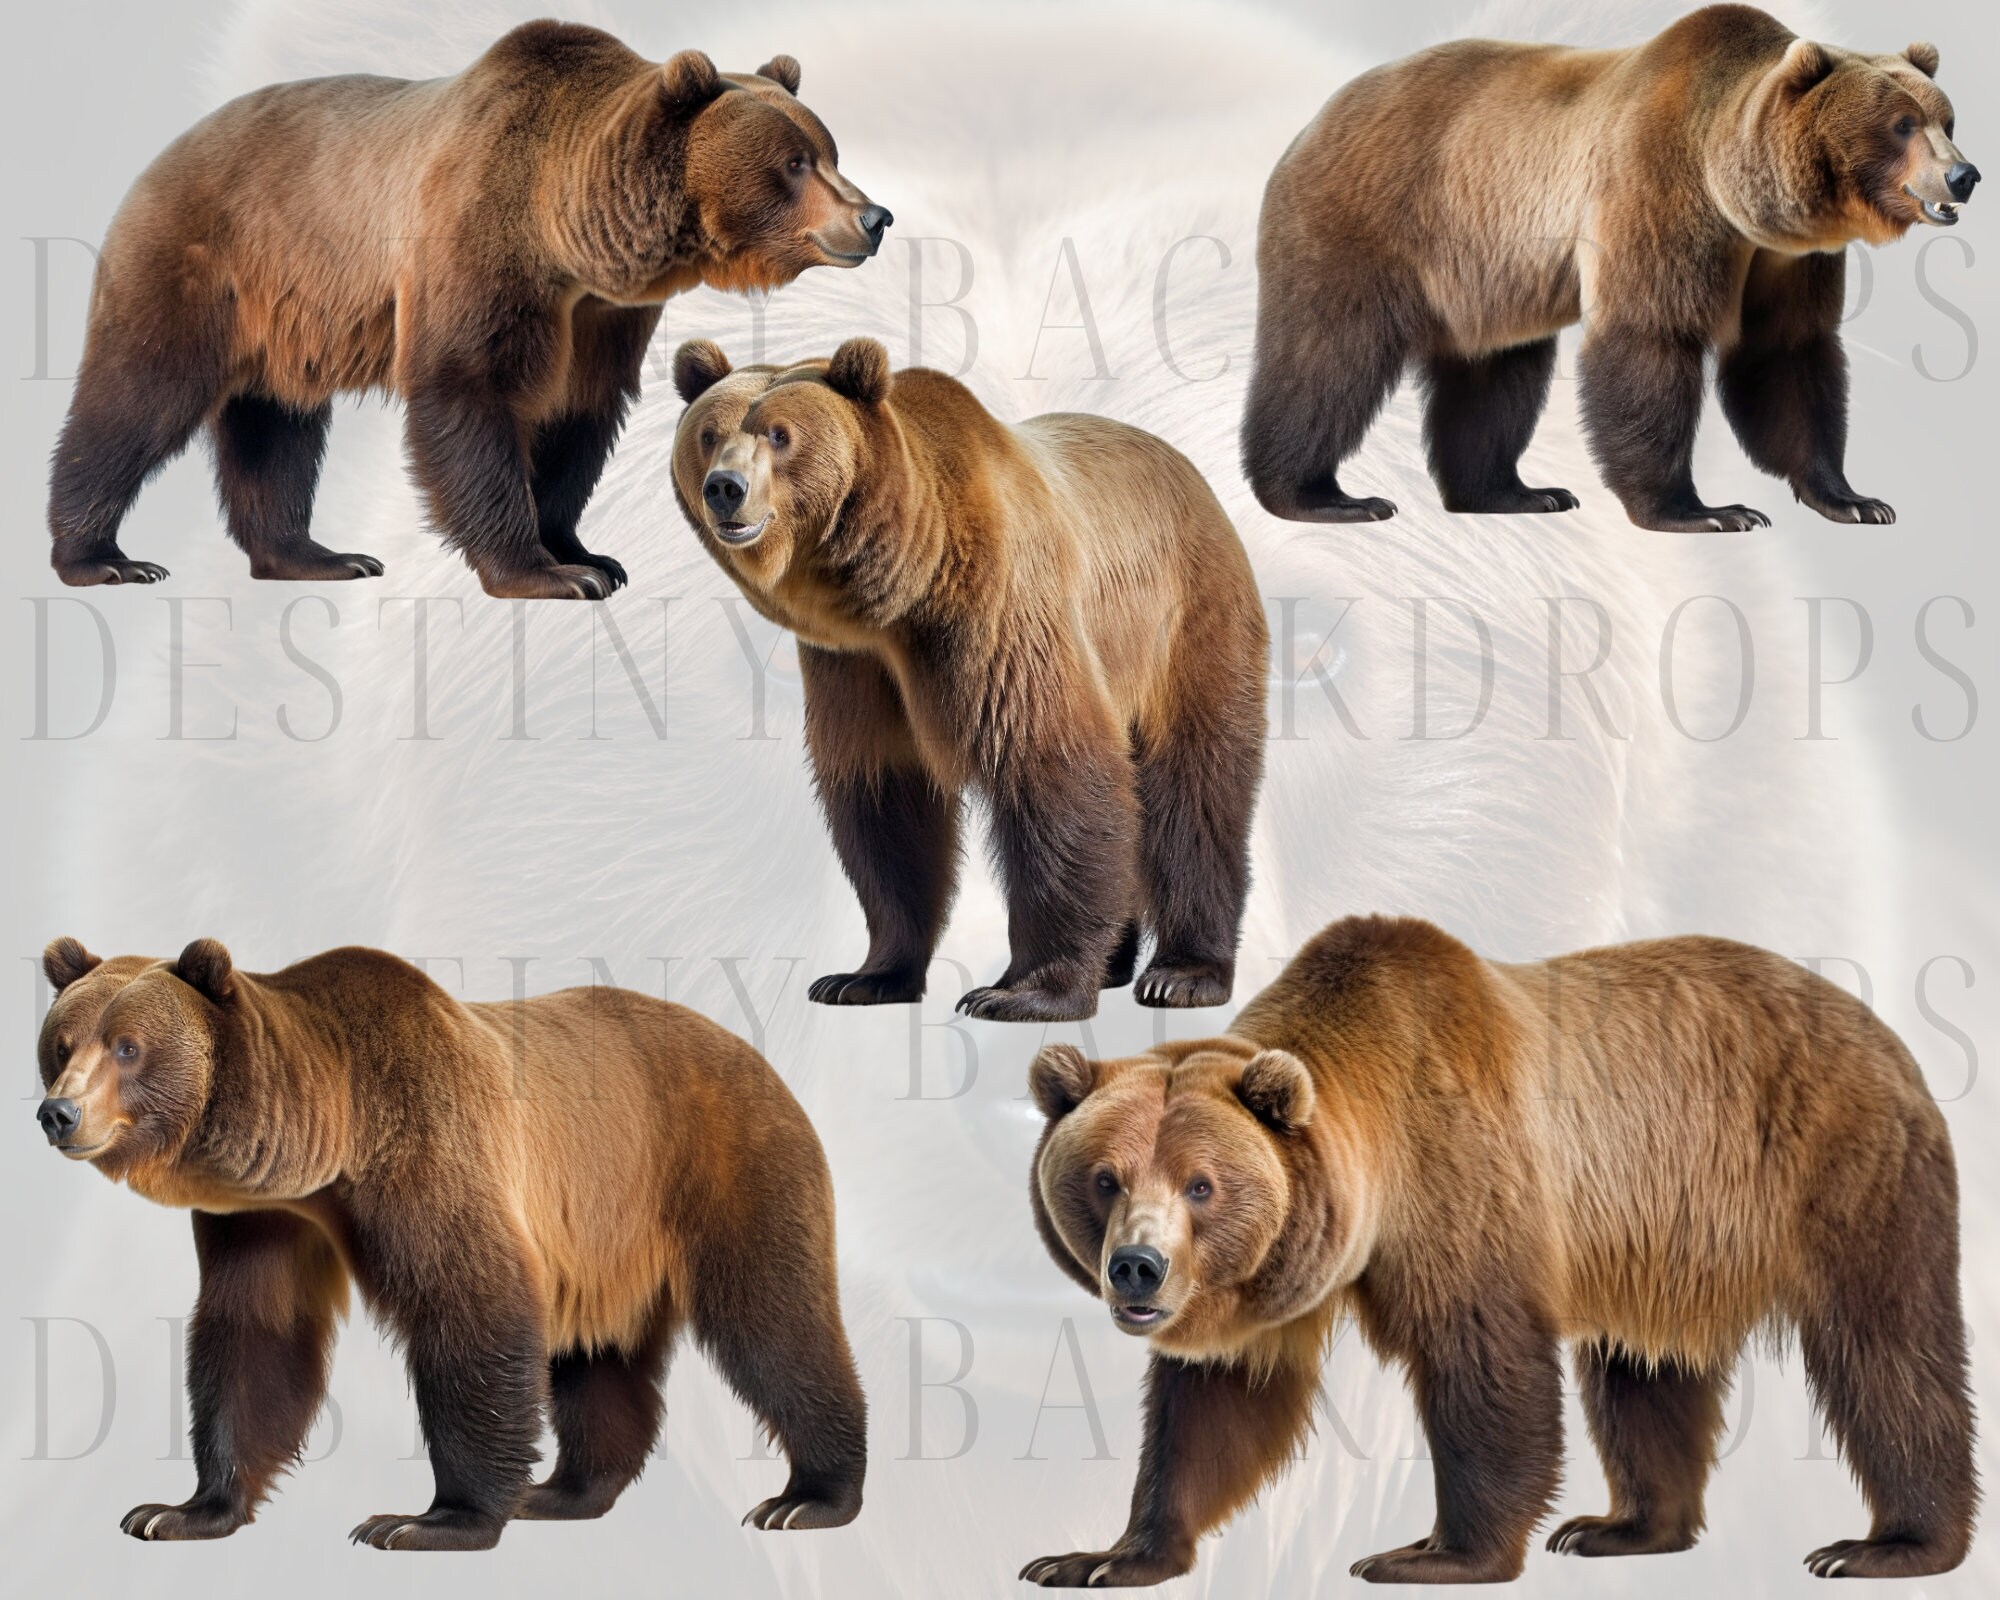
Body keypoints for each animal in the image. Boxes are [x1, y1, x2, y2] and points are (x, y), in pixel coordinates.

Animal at [32, 936, 867, 1549]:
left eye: (128, 1046)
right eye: (61, 1042)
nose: (57, 1113)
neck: (326, 1141)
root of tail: (753, 1050)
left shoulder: (427, 1146)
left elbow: (470, 1309)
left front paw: (426, 1520)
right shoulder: (263, 1220)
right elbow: (252, 1337)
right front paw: (178, 1509)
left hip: (720, 1162)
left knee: (774, 1319)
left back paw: (808, 1498)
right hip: (605, 1237)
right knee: (597, 1356)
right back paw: (564, 1492)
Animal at [46, 20, 890, 597]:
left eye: (830, 152)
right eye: (794, 163)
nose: (874, 217)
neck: (570, 231)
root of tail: (165, 149)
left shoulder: (599, 316)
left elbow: (576, 416)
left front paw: (584, 552)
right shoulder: (480, 239)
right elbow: (471, 392)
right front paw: (544, 572)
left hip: (285, 311)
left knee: (275, 422)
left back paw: (314, 554)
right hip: (204, 259)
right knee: (138, 396)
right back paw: (101, 557)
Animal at [668, 337, 1269, 1023]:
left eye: (781, 434)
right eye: (709, 434)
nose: (725, 488)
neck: (899, 590)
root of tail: (1198, 478)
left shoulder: (999, 611)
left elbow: (1050, 767)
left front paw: (1023, 990)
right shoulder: (853, 666)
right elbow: (887, 806)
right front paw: (863, 977)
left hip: (1184, 624)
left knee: (1194, 787)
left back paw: (1181, 974)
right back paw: (1118, 963)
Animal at [1022, 915, 1975, 1585]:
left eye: (1201, 1185)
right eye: (1105, 1178)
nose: (1137, 1268)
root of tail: (1880, 1027)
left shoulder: (1462, 1173)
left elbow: (1483, 1365)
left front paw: (1431, 1552)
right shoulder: (1279, 1275)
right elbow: (1216, 1403)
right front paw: (1100, 1557)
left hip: (1839, 1161)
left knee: (1888, 1349)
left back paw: (1888, 1545)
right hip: (1662, 1236)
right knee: (1642, 1370)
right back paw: (1625, 1527)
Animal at [1241, 5, 1979, 532]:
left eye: (1946, 118)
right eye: (1902, 124)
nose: (1965, 175)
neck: (1740, 193)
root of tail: (1317, 116)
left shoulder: (1787, 257)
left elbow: (1789, 354)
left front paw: (1854, 498)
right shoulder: (1657, 186)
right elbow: (1650, 338)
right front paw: (1706, 511)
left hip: (1485, 267)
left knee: (1497, 372)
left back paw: (1514, 491)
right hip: (1371, 220)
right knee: (1330, 354)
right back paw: (1322, 496)